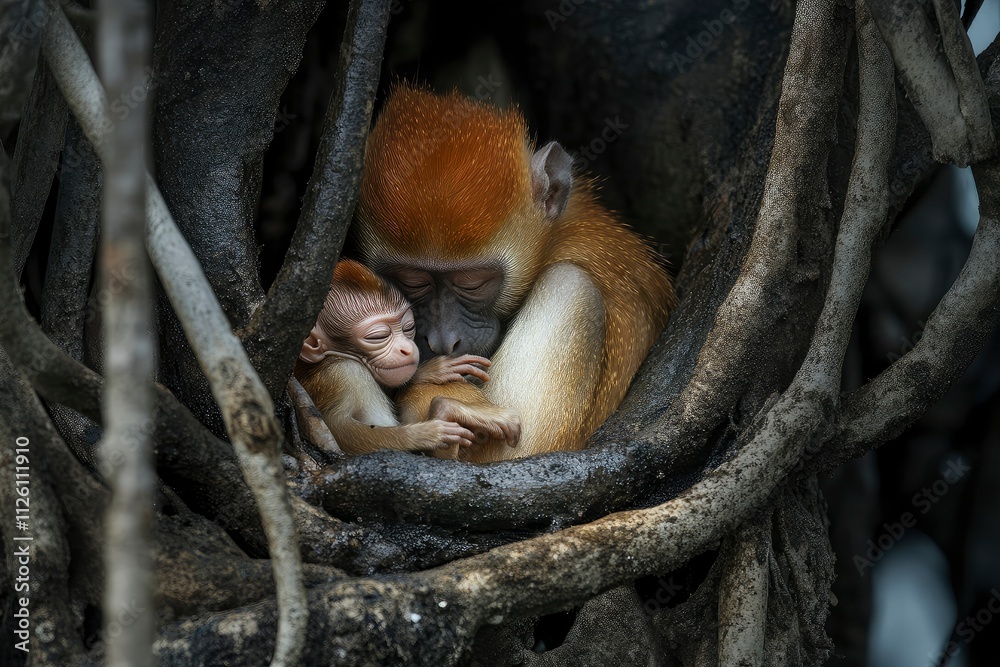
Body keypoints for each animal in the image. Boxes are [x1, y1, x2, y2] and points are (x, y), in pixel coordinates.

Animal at [295, 259, 519, 458]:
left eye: (408, 327)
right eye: (378, 336)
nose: (408, 350)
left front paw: (431, 370)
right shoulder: (346, 374)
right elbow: (341, 431)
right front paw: (432, 431)